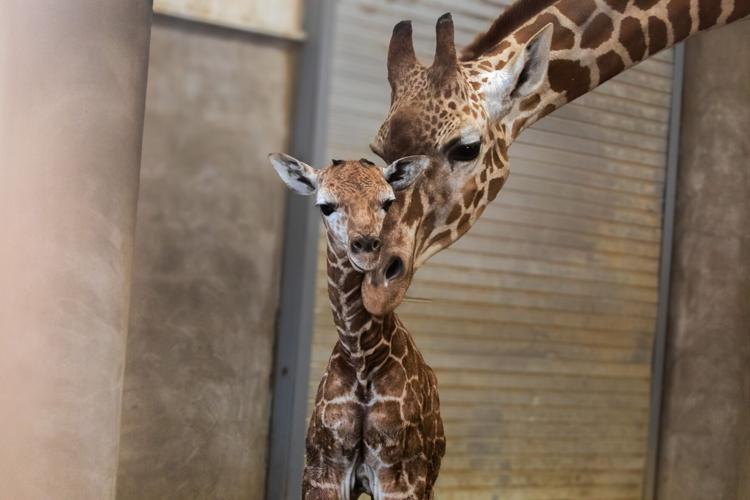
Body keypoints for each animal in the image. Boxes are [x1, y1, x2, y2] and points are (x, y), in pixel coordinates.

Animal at [268, 153, 445, 499]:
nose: (366, 245)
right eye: (325, 206)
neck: (362, 359)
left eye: (388, 202)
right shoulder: (324, 471)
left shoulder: (400, 476)